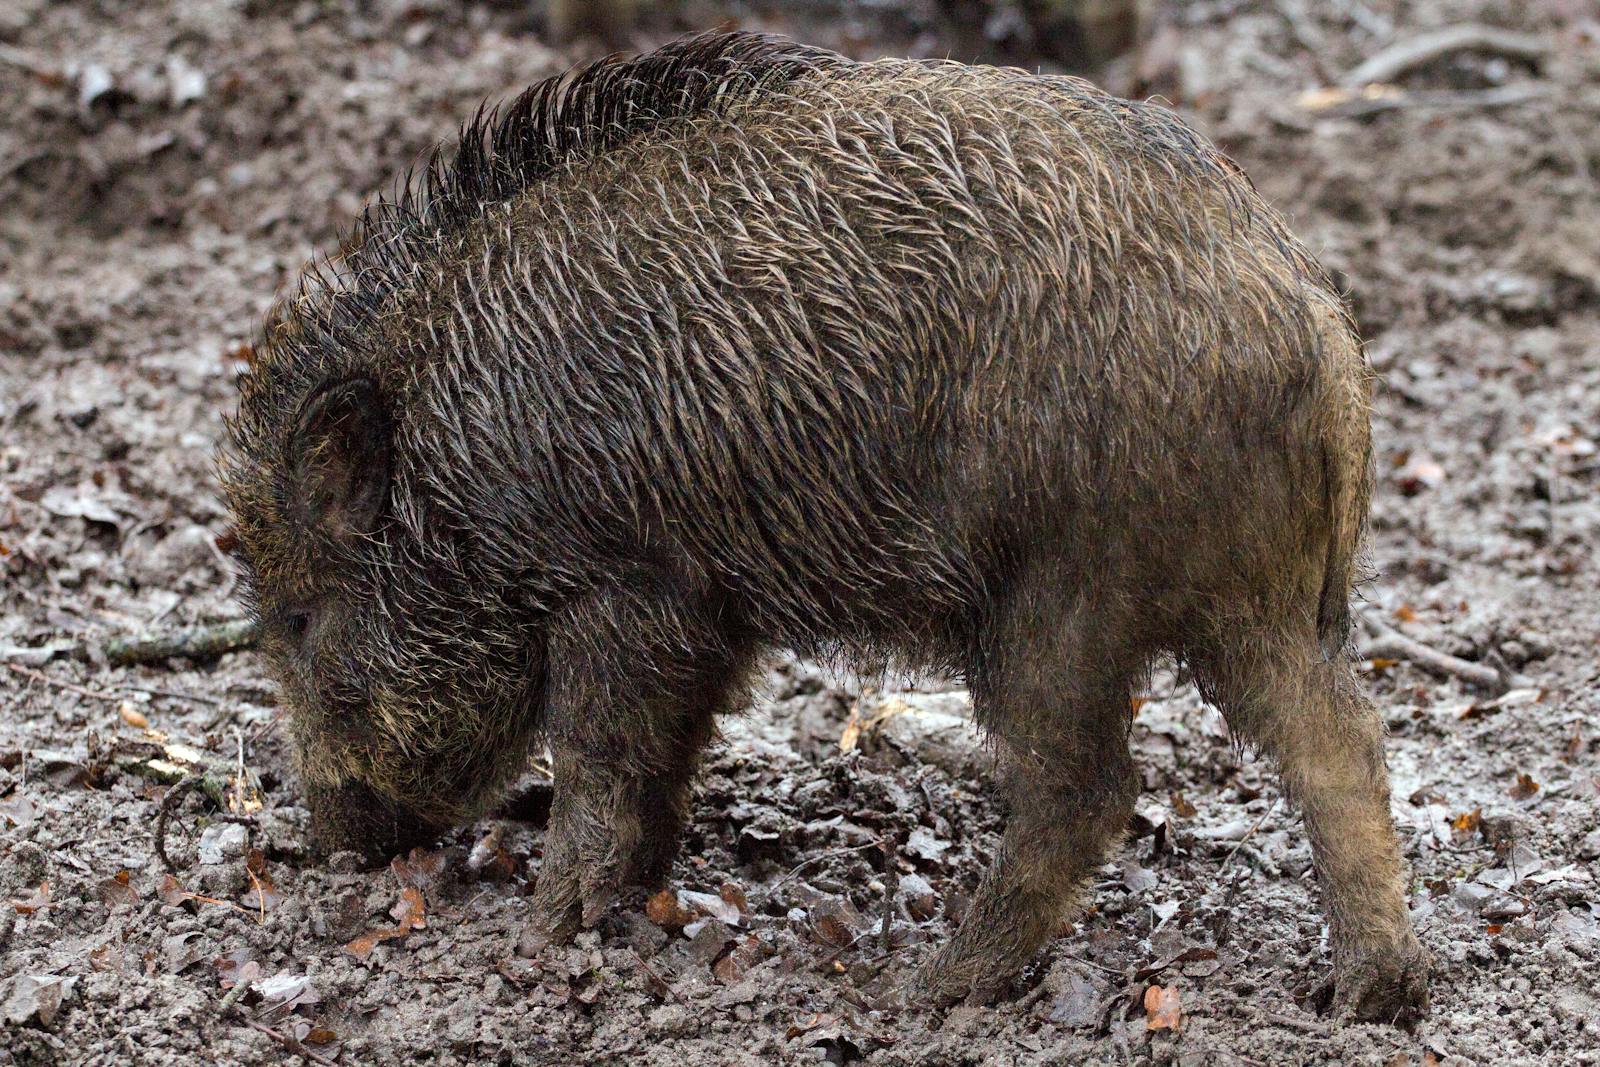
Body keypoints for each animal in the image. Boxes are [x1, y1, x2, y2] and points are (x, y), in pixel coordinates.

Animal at [222, 31, 1428, 1019]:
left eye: (298, 616)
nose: (331, 845)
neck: (455, 460)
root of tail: (1309, 309)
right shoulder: (705, 612)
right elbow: (664, 763)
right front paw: (634, 897)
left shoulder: (623, 589)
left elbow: (601, 760)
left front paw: (545, 930)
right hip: (1251, 591)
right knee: (1339, 741)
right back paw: (1369, 996)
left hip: (1061, 596)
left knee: (1089, 789)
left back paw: (936, 987)